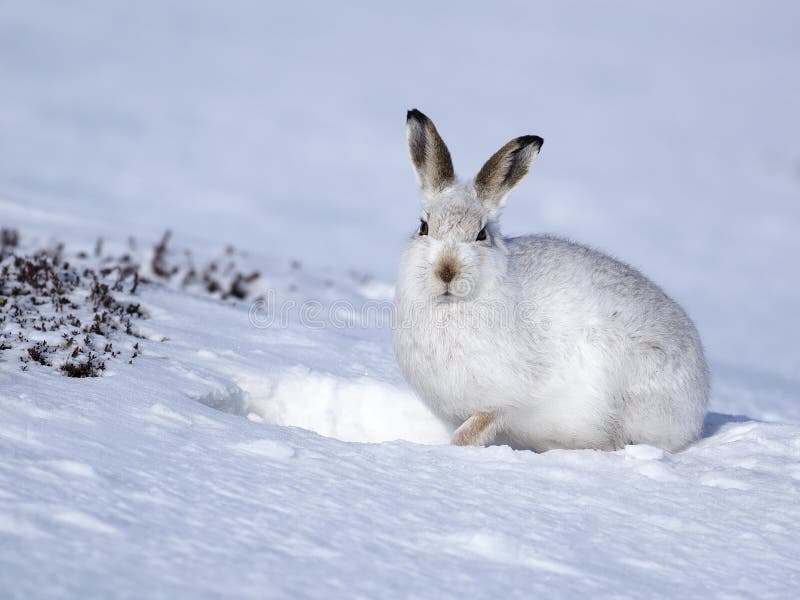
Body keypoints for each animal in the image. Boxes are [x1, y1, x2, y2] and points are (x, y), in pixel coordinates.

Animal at [392, 109, 709, 452]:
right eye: (423, 227)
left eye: (481, 234)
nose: (446, 271)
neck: (454, 305)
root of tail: (699, 395)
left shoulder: (503, 401)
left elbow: (476, 427)